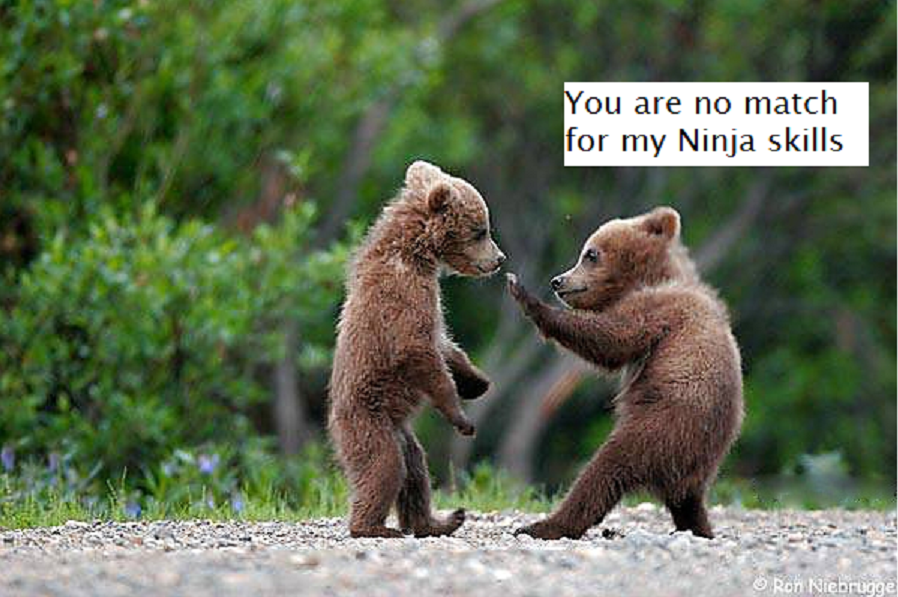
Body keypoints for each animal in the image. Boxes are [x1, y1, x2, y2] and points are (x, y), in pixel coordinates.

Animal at [328, 160, 505, 538]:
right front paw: (462, 418)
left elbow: (444, 344)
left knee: (415, 471)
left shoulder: (430, 301)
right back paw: (373, 527)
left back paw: (439, 520)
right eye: (480, 230)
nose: (499, 259)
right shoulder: (403, 296)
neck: (417, 254)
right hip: (369, 421)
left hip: (402, 432)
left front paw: (477, 381)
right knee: (384, 467)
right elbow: (416, 350)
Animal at [506, 206, 743, 540]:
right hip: (695, 460)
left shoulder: (658, 310)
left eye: (590, 253)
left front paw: (525, 295)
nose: (558, 281)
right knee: (687, 501)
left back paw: (544, 525)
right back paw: (699, 527)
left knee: (603, 470)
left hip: (661, 427)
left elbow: (613, 339)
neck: (651, 277)